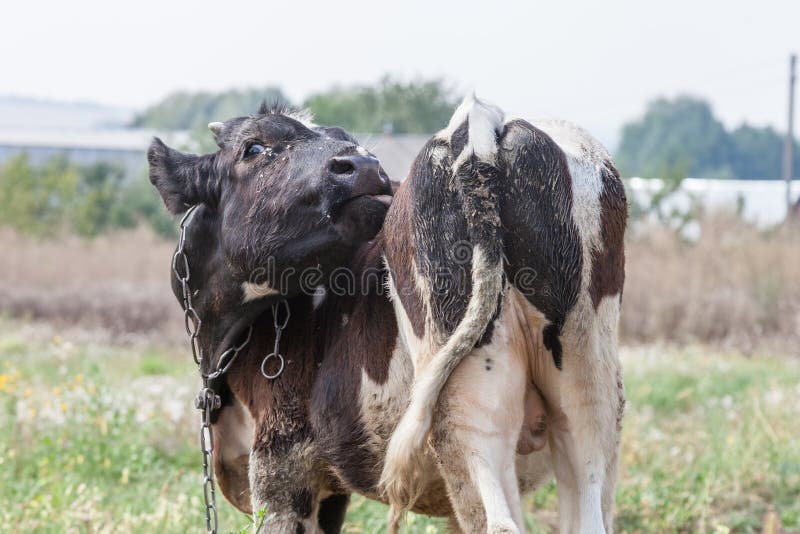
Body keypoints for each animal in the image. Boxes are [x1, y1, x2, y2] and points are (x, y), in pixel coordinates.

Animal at [148, 97, 626, 533]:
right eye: (254, 148)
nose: (361, 164)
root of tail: (481, 123)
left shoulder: (282, 464)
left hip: (462, 397)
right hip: (589, 382)